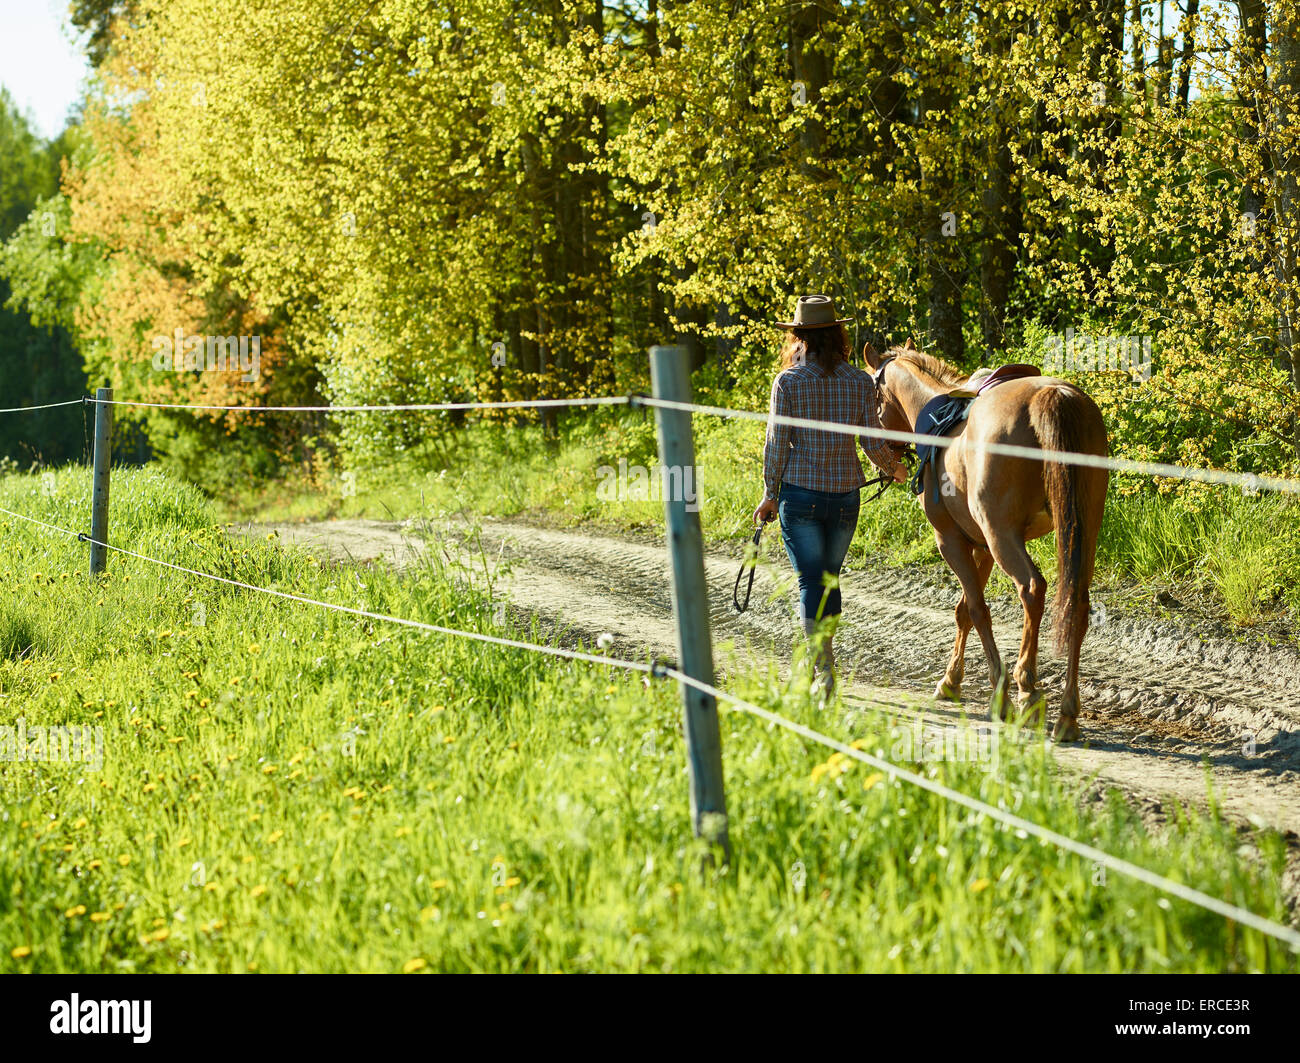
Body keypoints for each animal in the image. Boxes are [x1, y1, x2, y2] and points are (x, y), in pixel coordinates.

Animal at [863, 339, 1109, 741]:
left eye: (873, 399)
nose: (881, 461)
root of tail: (1053, 395)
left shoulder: (951, 541)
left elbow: (977, 610)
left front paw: (999, 694)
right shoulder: (981, 547)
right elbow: (964, 611)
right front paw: (951, 681)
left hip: (1003, 536)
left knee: (1031, 589)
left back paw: (1028, 691)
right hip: (1081, 531)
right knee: (1078, 602)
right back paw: (1067, 716)